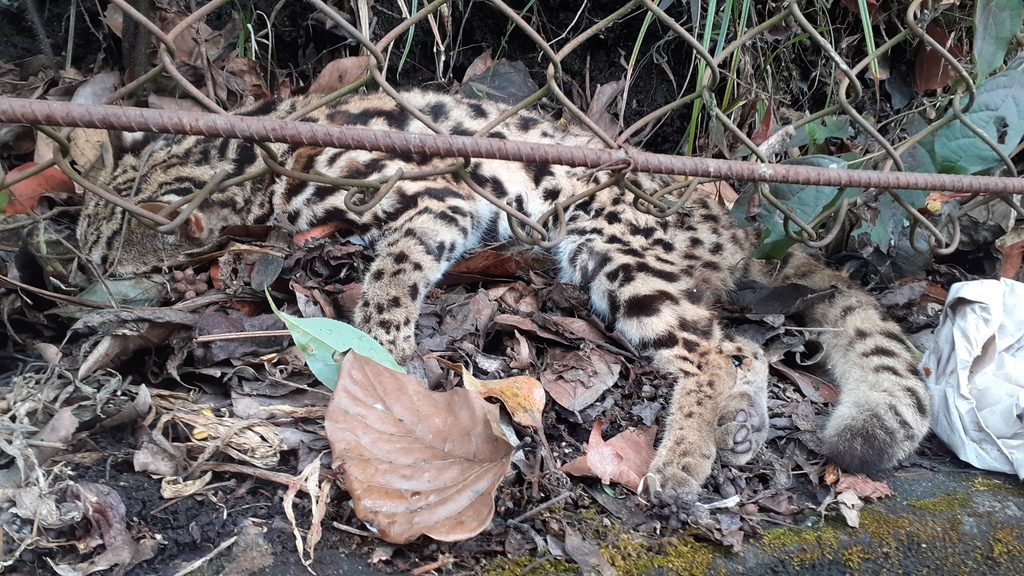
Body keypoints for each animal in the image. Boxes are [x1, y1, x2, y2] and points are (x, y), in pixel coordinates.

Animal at [76, 89, 931, 495]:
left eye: (102, 255)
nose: (70, 282)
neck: (226, 154)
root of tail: (724, 225)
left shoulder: (437, 194)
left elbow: (394, 270)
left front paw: (382, 348)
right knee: (736, 343)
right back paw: (741, 427)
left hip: (604, 237)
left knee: (707, 348)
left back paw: (685, 457)